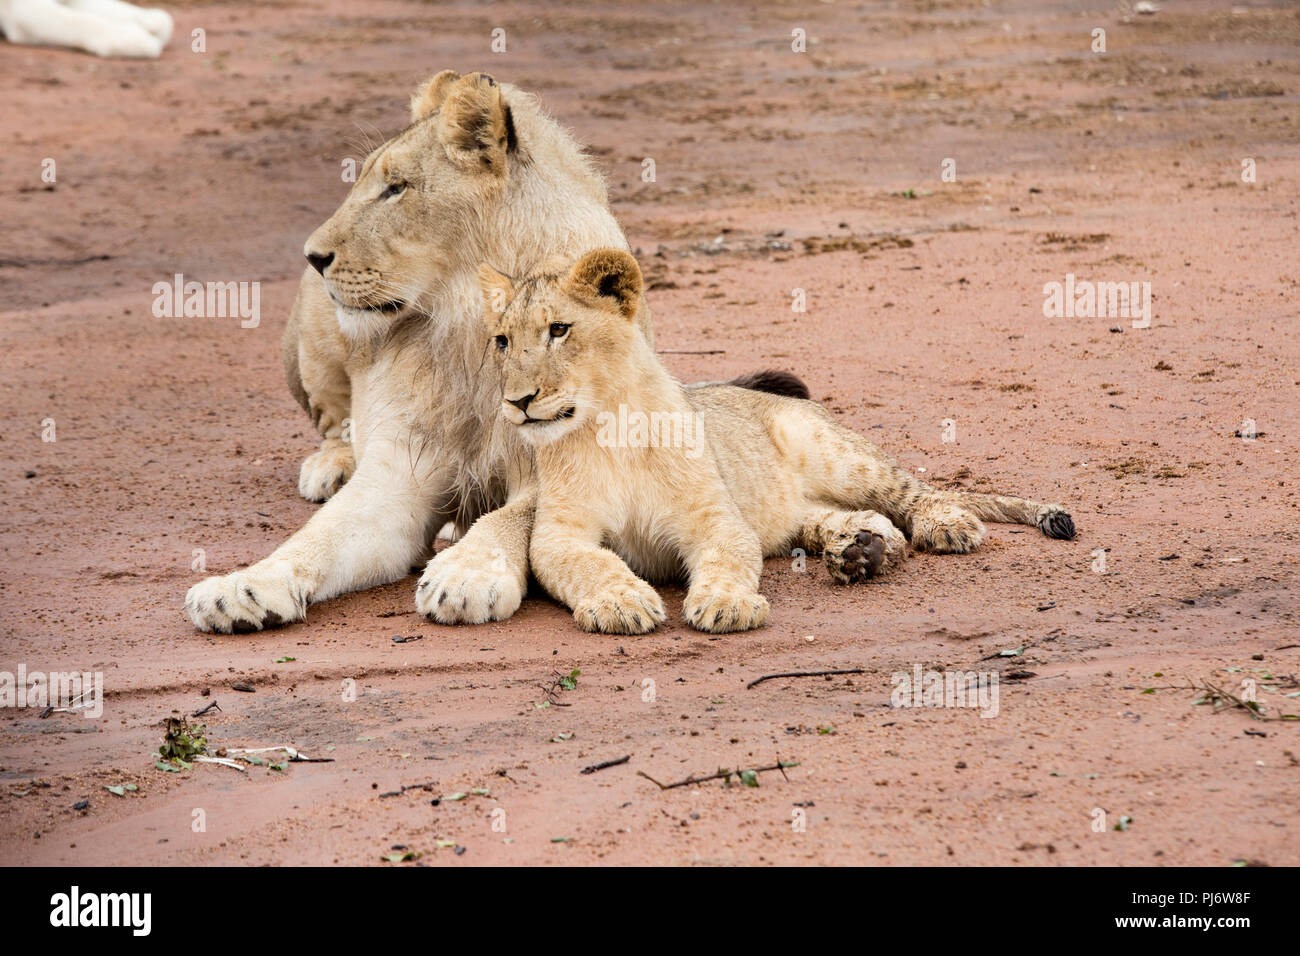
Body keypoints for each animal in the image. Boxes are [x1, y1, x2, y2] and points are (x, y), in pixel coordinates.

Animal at [185, 71, 800, 633]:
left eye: (397, 187)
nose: (312, 256)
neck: (463, 326)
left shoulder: (556, 458)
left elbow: (513, 519)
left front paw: (468, 572)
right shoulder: (401, 468)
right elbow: (319, 537)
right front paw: (243, 586)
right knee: (334, 424)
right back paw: (332, 466)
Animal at [479, 249, 1077, 635]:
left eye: (559, 330)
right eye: (502, 341)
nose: (517, 400)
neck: (609, 428)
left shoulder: (716, 518)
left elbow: (727, 558)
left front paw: (727, 605)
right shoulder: (559, 535)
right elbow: (592, 563)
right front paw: (622, 603)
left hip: (836, 454)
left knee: (916, 492)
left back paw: (942, 526)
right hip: (801, 509)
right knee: (854, 520)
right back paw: (860, 549)